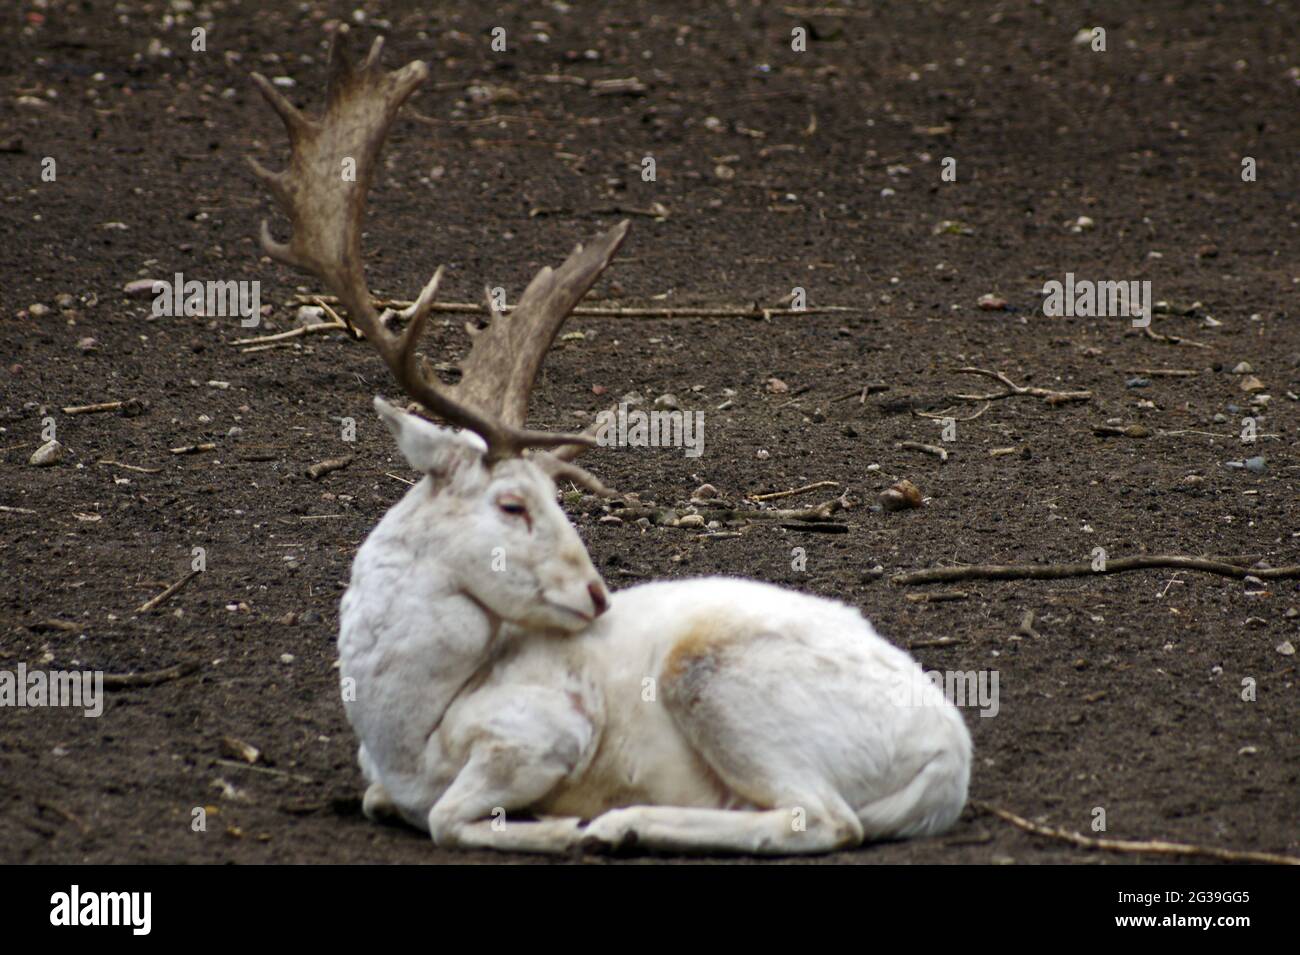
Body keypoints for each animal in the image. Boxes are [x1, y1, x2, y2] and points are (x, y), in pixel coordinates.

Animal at [247, 33, 971, 855]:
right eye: (513, 504)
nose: (597, 595)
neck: (403, 732)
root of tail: (950, 759)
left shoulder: (544, 727)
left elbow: (446, 817)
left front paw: (561, 827)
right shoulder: (387, 779)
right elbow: (385, 803)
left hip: (713, 672)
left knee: (824, 817)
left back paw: (620, 823)